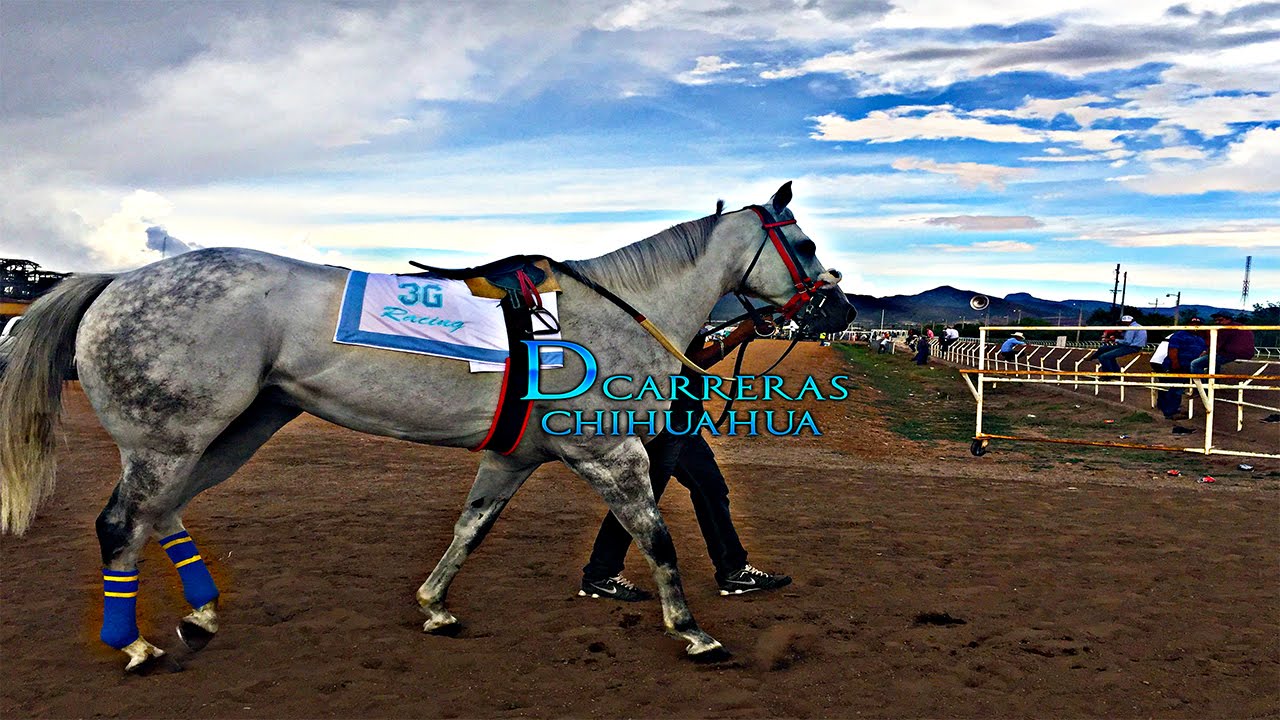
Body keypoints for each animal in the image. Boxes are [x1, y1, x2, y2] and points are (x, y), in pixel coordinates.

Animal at [0, 182, 855, 672]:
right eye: (805, 242)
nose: (842, 308)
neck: (603, 315)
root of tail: (119, 279)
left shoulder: (515, 459)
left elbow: (470, 529)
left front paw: (435, 604)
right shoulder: (610, 454)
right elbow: (657, 536)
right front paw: (692, 629)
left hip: (230, 431)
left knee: (160, 515)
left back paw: (202, 613)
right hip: (169, 439)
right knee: (122, 524)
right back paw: (133, 643)